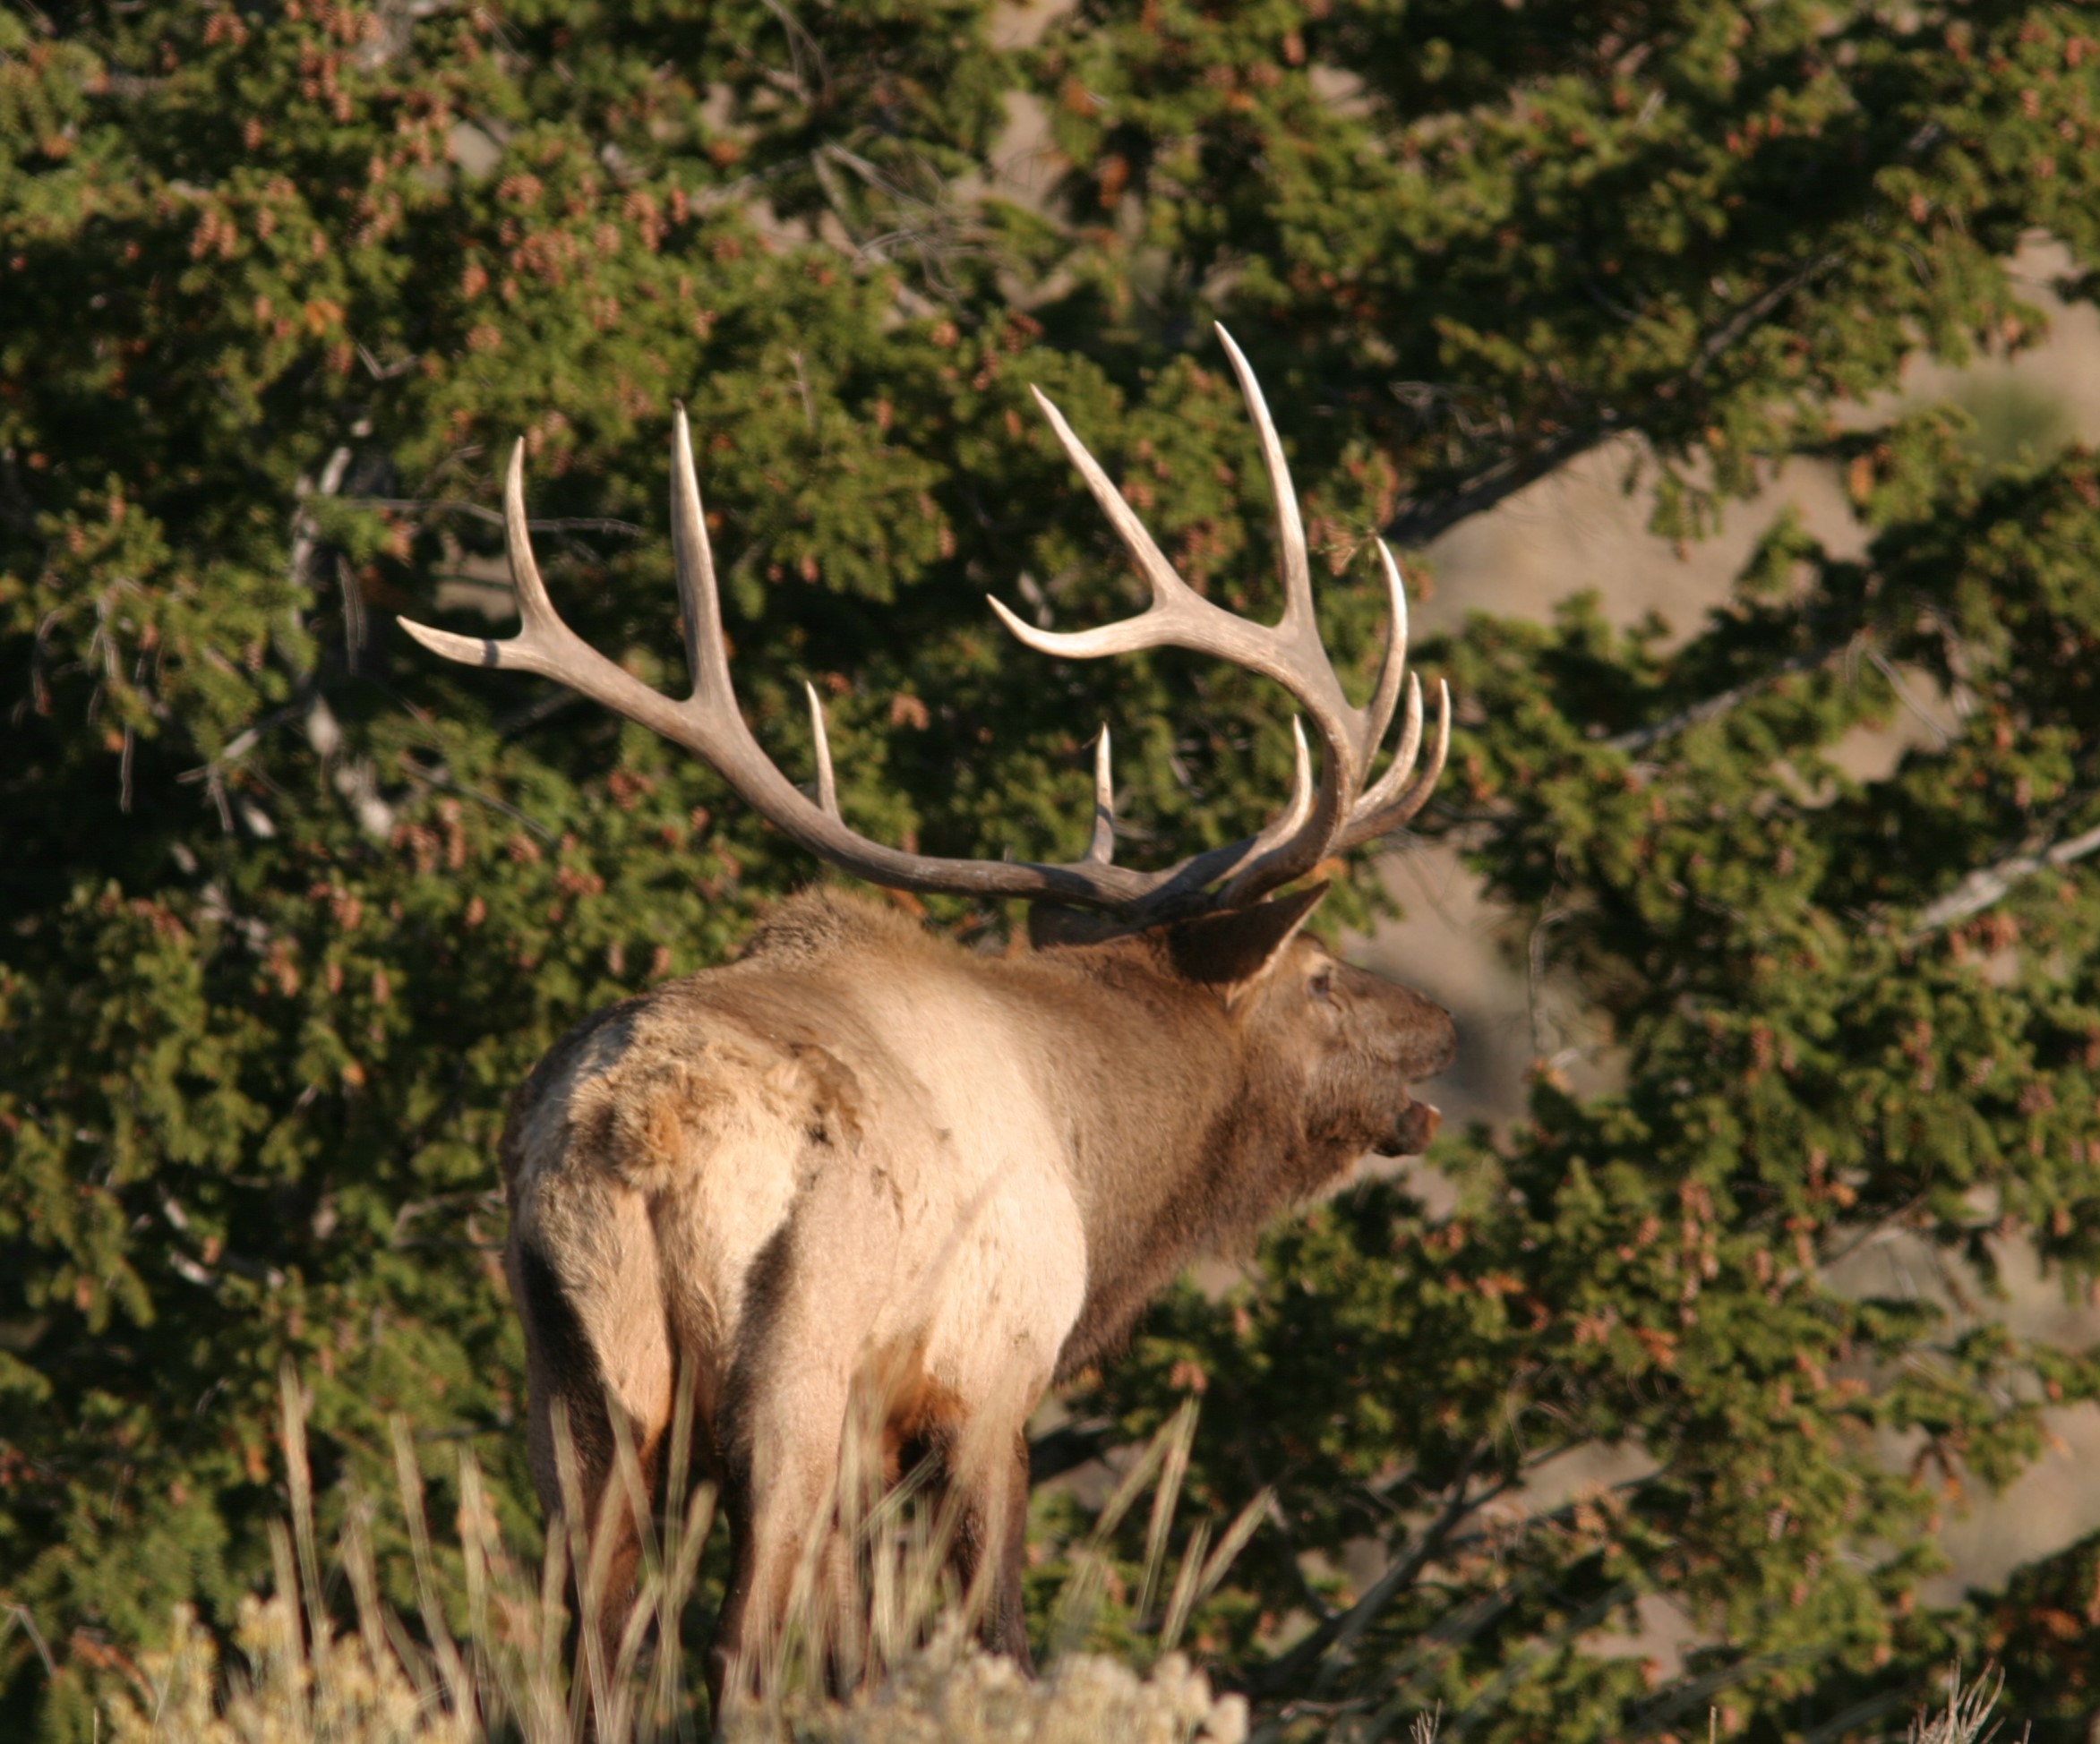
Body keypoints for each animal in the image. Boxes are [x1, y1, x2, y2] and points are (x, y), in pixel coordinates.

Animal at [397, 327, 1458, 1707]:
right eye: (1322, 975)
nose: (1439, 1027)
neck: (1106, 1168)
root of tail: (632, 1134)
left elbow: (861, 1663)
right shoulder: (987, 1385)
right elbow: (990, 1637)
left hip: (574, 1372)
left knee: (588, 1649)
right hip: (792, 1362)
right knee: (738, 1644)